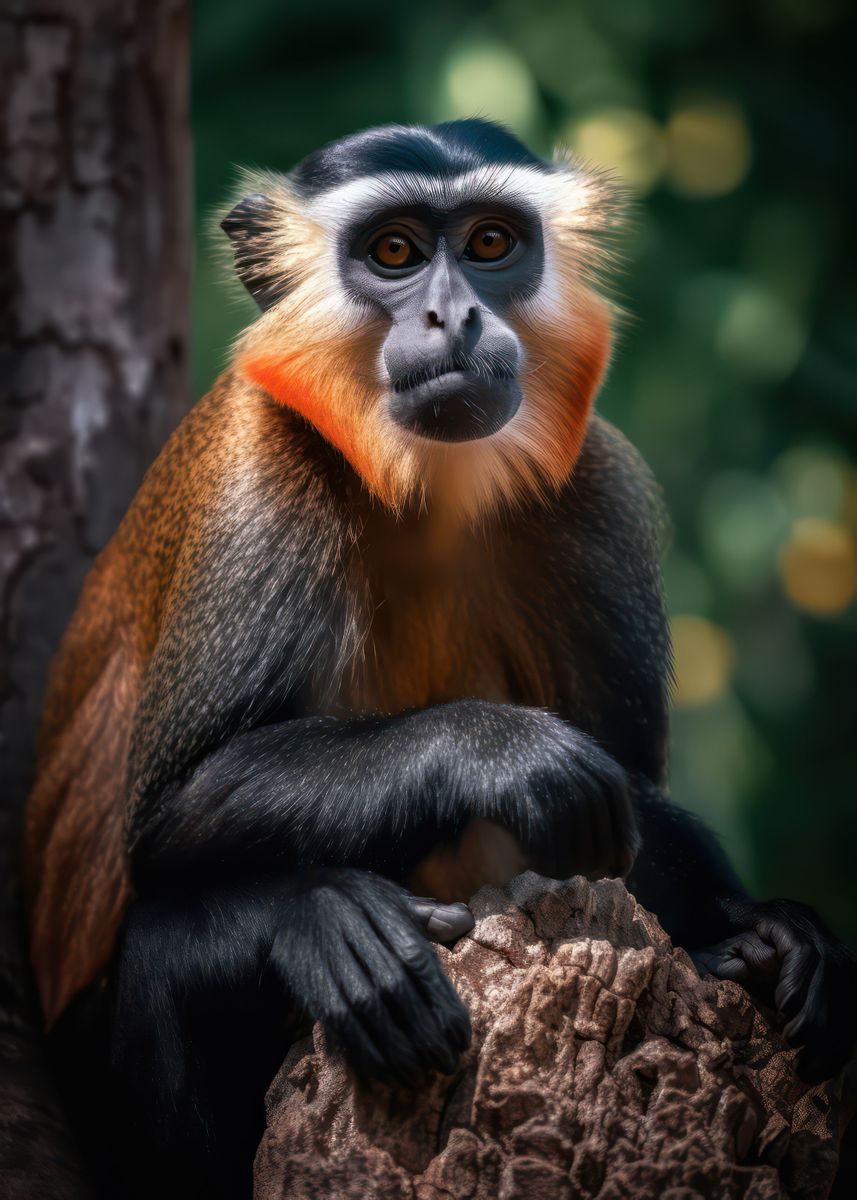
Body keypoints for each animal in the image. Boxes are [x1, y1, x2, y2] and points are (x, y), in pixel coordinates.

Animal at [21, 119, 856, 1198]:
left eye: (491, 243)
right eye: (394, 252)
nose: (452, 315)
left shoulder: (588, 486)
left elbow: (628, 811)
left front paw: (759, 930)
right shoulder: (261, 477)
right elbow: (168, 818)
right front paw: (498, 756)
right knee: (174, 952)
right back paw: (332, 930)